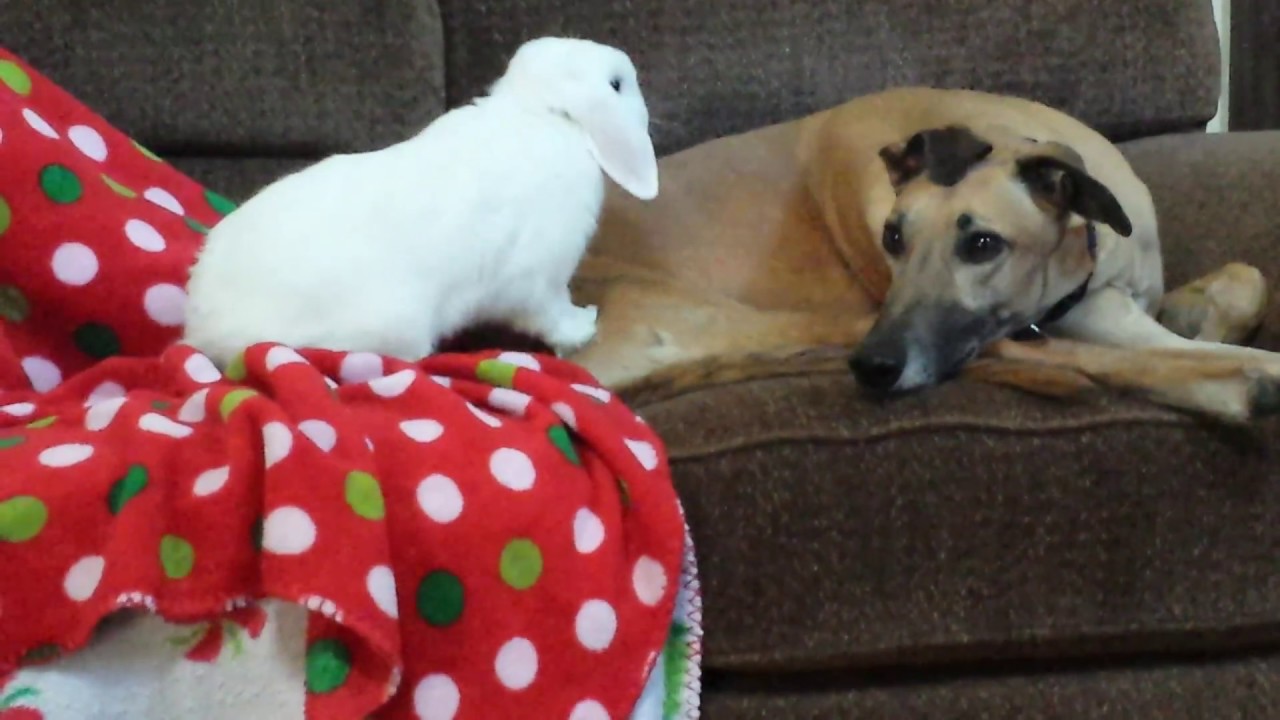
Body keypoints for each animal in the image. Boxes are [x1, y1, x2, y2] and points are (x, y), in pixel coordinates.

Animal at [181, 36, 659, 369]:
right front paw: (584, 325)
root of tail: (203, 331)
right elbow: (551, 313)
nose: (630, 65)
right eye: (616, 84)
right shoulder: (537, 280)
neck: (540, 112)